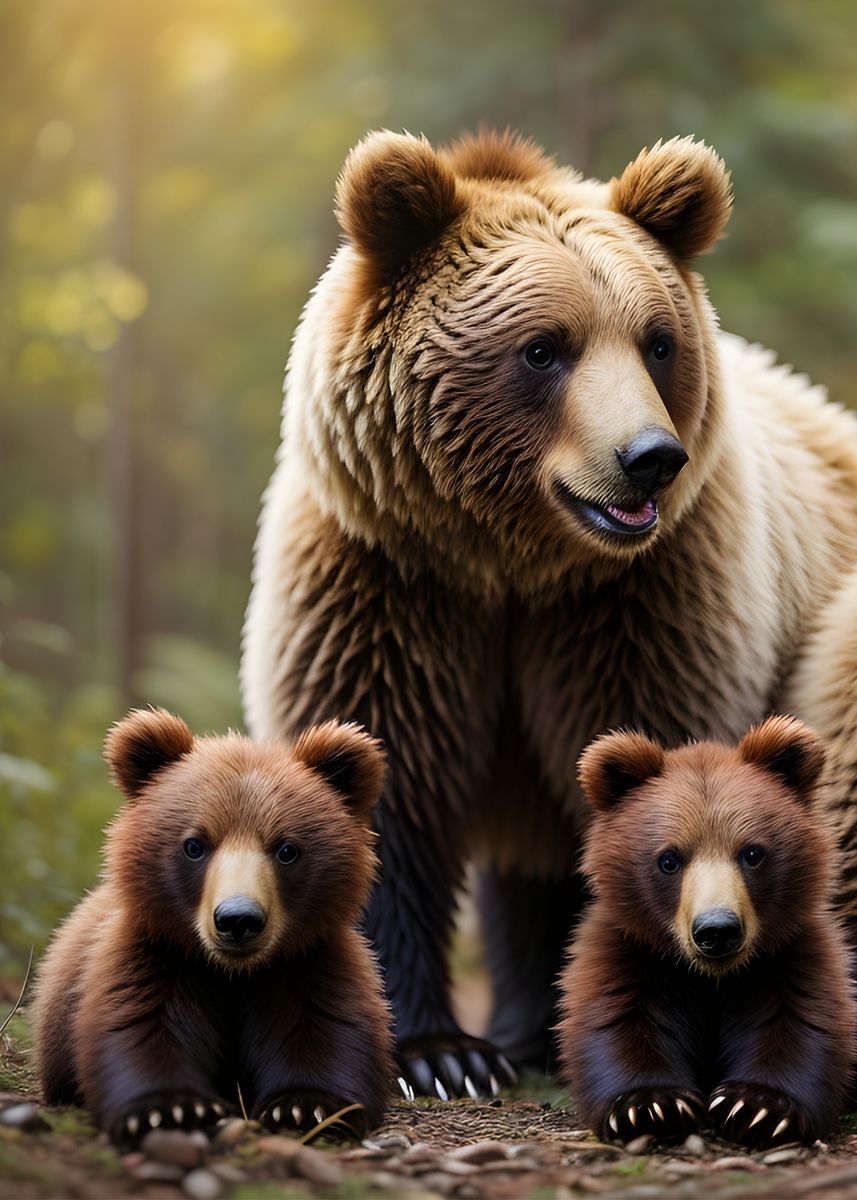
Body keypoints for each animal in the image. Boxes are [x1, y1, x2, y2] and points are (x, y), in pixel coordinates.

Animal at [31, 708, 395, 1143]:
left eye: (287, 849)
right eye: (194, 844)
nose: (238, 919)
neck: (233, 973)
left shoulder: (305, 960)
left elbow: (324, 1024)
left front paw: (304, 1107)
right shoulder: (158, 953)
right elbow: (141, 1023)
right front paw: (170, 1108)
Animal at [241, 128, 857, 1098]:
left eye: (656, 343)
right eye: (543, 348)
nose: (649, 458)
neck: (514, 561)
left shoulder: (637, 606)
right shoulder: (386, 583)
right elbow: (385, 786)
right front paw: (442, 1056)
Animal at [557, 716, 856, 1149]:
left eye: (752, 852)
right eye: (669, 859)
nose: (717, 930)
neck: (713, 978)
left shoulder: (788, 954)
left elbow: (800, 1021)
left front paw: (756, 1107)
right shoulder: (634, 952)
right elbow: (617, 1020)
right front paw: (651, 1105)